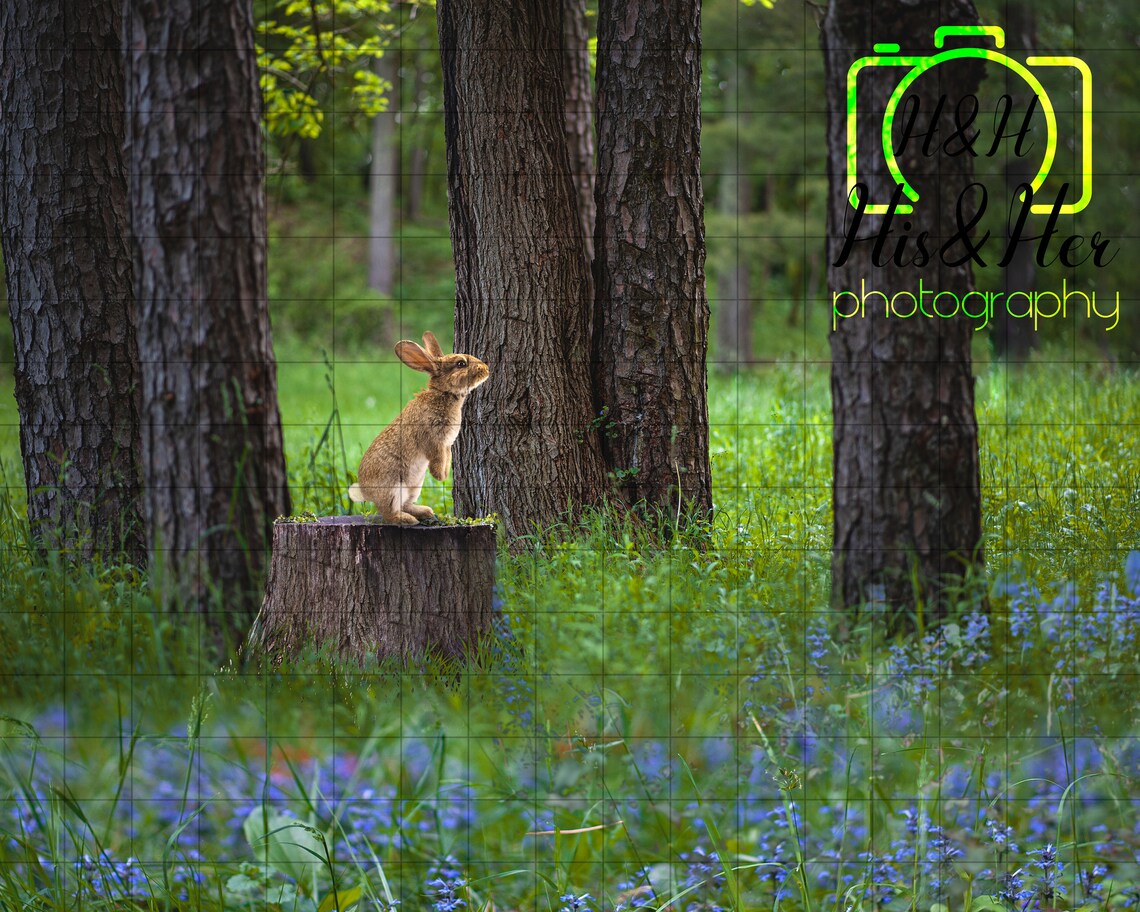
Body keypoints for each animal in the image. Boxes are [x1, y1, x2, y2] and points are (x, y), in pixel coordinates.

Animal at [348, 331, 490, 524]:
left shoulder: (447, 444)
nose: (486, 369)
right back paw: (407, 519)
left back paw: (424, 512)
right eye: (461, 363)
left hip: (414, 486)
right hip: (394, 488)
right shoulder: (433, 440)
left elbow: (447, 457)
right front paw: (440, 476)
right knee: (388, 512)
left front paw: (444, 474)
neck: (443, 393)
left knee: (405, 504)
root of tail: (364, 492)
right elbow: (437, 458)